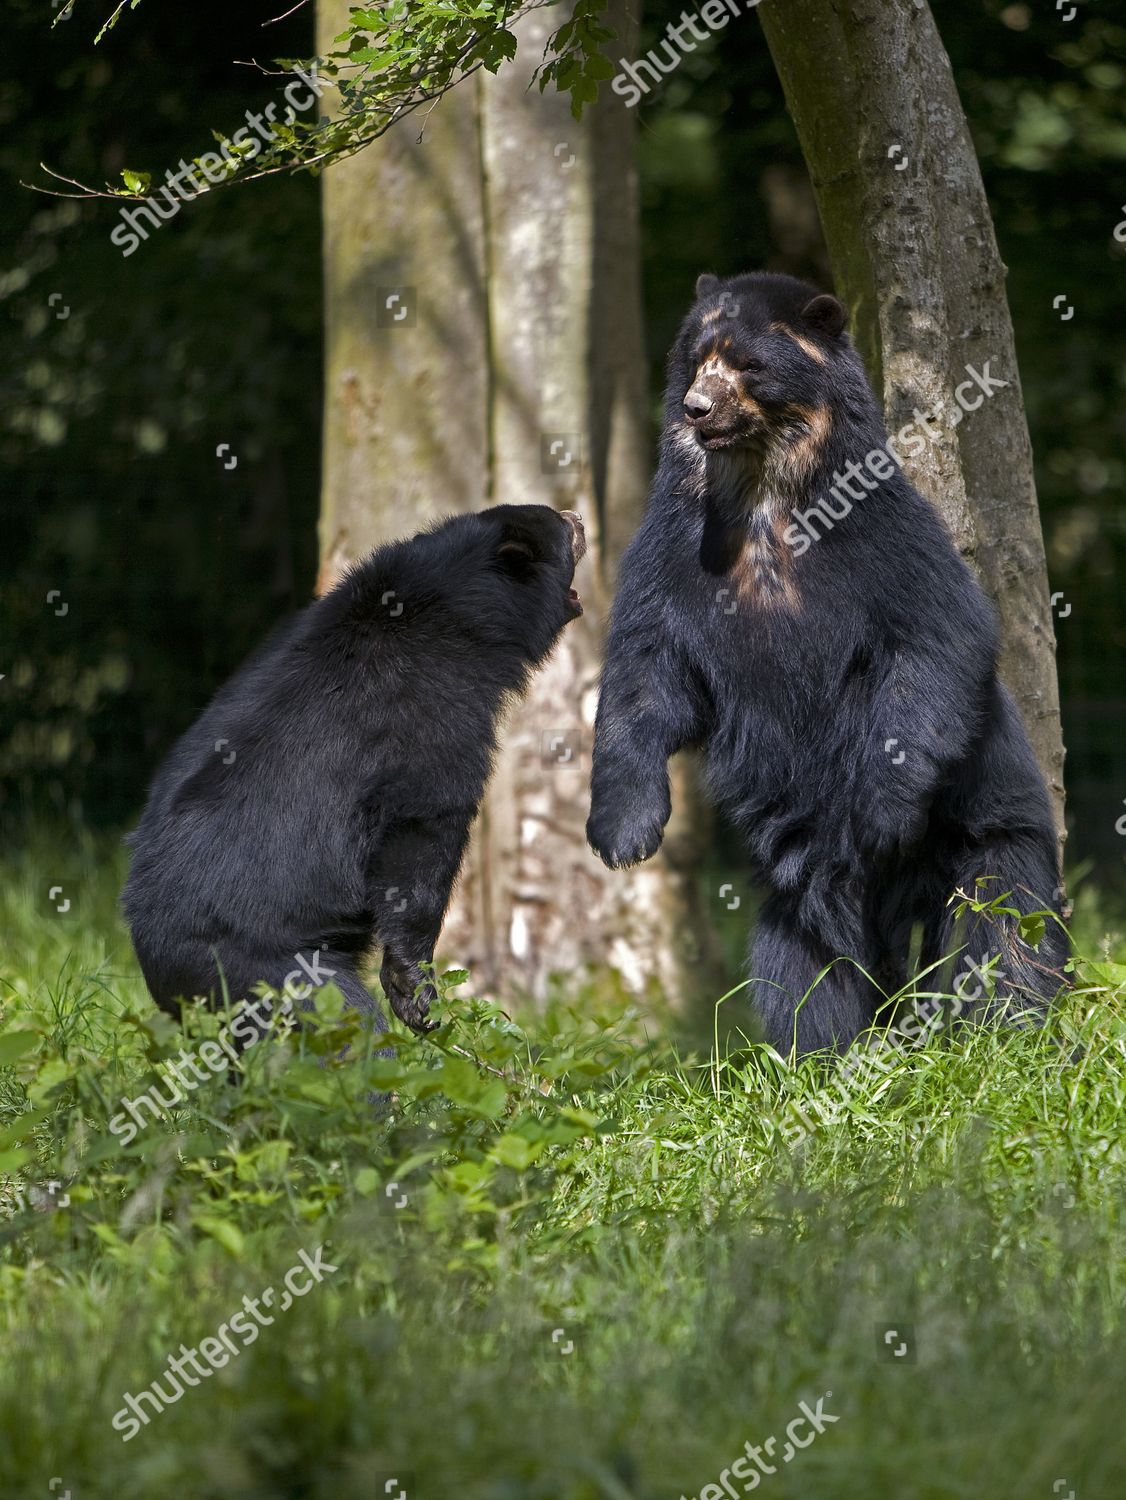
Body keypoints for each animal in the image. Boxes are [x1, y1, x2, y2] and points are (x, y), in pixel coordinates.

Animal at [123, 504, 586, 1035]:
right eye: (560, 529)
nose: (578, 519)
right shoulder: (436, 711)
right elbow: (422, 832)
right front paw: (414, 992)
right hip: (263, 966)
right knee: (346, 1027)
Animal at [586, 270, 1067, 1056]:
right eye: (696, 359)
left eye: (746, 364)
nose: (695, 408)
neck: (763, 489)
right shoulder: (673, 547)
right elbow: (644, 672)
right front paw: (623, 837)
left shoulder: (886, 533)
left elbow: (938, 639)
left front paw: (881, 814)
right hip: (799, 858)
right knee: (802, 956)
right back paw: (823, 1049)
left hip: (989, 816)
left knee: (1006, 926)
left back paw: (1013, 1031)